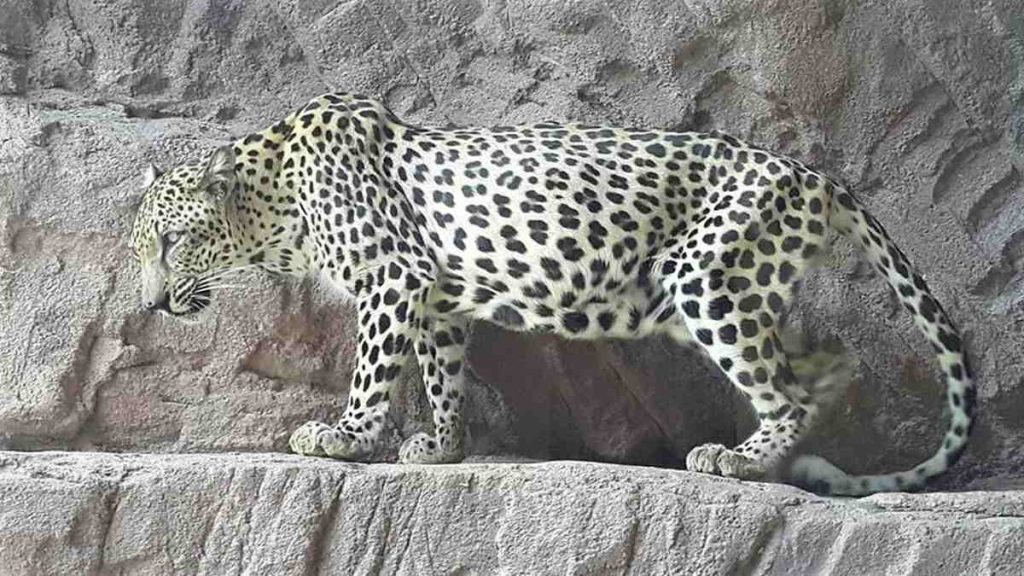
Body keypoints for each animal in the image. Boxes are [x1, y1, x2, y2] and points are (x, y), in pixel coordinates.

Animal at [130, 91, 975, 496]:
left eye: (170, 244)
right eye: (140, 251)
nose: (150, 306)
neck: (273, 207)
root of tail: (810, 172)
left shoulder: (392, 277)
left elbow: (373, 372)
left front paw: (345, 438)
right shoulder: (436, 298)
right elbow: (441, 375)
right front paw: (442, 446)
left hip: (707, 282)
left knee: (788, 390)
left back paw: (737, 460)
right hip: (733, 288)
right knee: (822, 364)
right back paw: (792, 453)